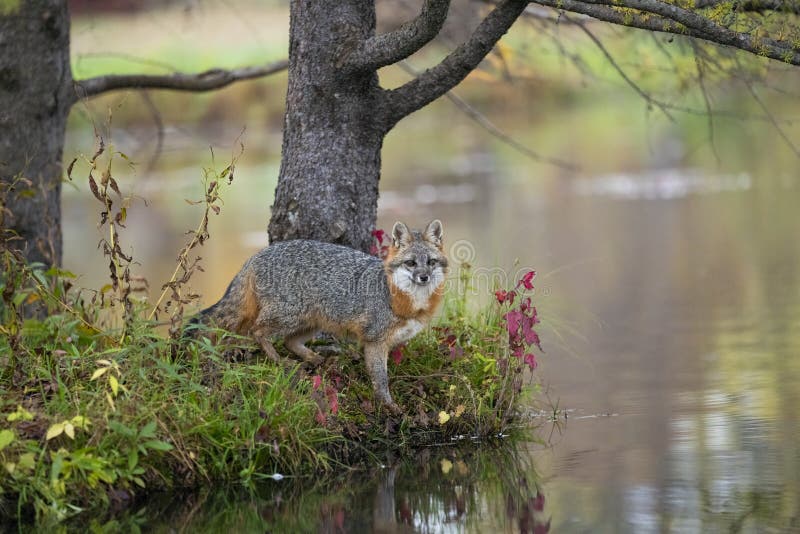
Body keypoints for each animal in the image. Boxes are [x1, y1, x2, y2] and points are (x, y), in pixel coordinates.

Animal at [191, 220, 448, 414]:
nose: (423, 277)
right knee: (258, 331)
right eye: (411, 263)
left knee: (289, 341)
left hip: (311, 322)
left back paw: (313, 358)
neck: (405, 300)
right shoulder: (375, 341)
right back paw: (278, 360)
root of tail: (256, 255)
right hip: (289, 316)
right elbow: (380, 379)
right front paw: (388, 405)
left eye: (431, 262)